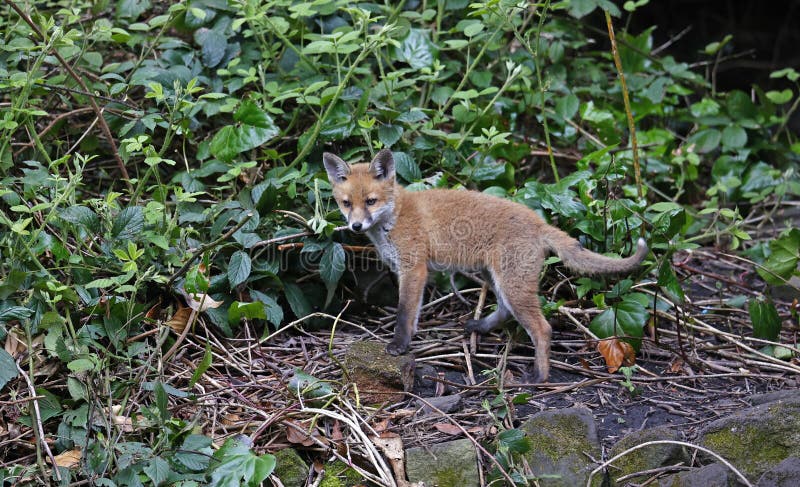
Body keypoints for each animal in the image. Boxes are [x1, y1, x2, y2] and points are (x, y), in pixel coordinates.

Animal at [323, 148, 648, 383]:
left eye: (371, 201)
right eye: (346, 203)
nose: (355, 226)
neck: (396, 216)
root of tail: (538, 221)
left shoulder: (414, 270)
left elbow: (404, 313)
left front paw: (399, 345)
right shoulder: (412, 272)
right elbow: (412, 314)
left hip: (512, 283)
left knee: (543, 329)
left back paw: (539, 377)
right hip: (494, 277)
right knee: (504, 310)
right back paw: (479, 326)